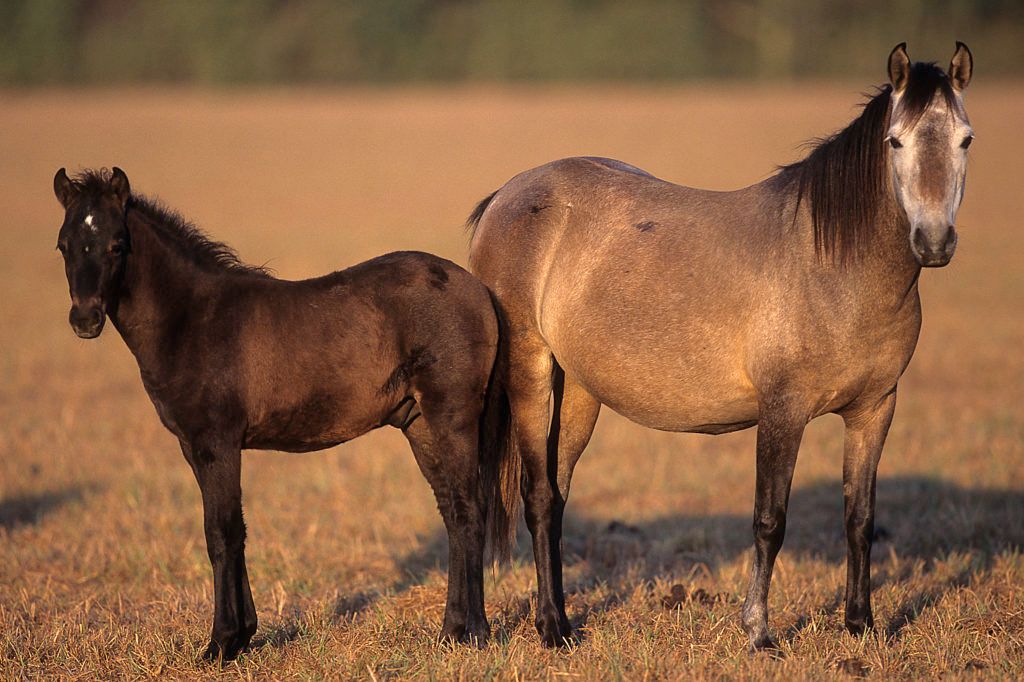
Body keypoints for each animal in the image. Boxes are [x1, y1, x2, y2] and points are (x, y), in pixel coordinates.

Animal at [52, 167, 517, 662]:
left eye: (117, 244)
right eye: (63, 244)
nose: (85, 319)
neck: (194, 320)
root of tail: (478, 289)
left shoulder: (217, 444)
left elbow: (221, 532)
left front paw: (221, 643)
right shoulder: (194, 448)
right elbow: (234, 530)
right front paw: (243, 636)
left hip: (452, 417)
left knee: (470, 511)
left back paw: (476, 633)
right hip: (420, 425)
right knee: (451, 511)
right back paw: (450, 630)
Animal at [467, 42, 974, 650]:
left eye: (965, 139)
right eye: (896, 141)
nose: (934, 242)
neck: (833, 267)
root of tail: (507, 195)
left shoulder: (875, 409)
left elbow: (860, 519)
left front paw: (861, 626)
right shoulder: (783, 411)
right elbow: (770, 520)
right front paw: (758, 631)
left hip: (580, 395)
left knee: (557, 497)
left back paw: (563, 621)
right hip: (530, 375)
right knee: (539, 498)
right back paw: (550, 627)